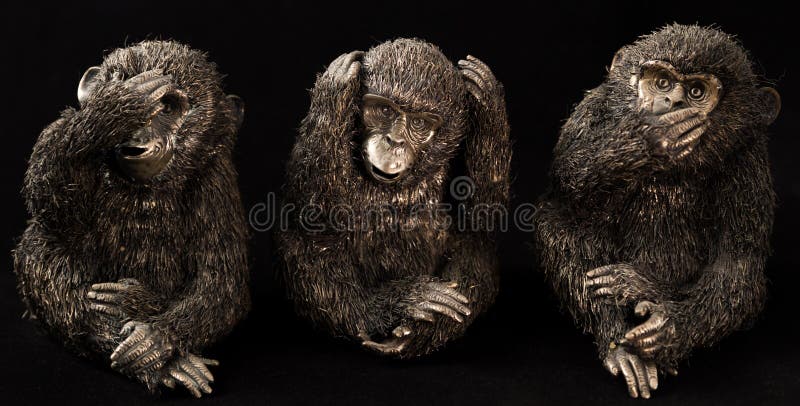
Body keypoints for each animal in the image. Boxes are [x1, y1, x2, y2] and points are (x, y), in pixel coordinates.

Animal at [13, 40, 250, 398]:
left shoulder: (216, 179)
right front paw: (115, 107)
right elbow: (52, 210)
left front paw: (155, 337)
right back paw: (164, 365)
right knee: (39, 249)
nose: (137, 133)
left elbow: (222, 278)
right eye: (149, 107)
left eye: (168, 108)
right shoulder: (57, 131)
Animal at [277, 38, 511, 358]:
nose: (395, 141)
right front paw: (335, 88)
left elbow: (478, 234)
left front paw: (487, 100)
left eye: (419, 124)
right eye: (385, 110)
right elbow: (311, 235)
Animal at [533, 24, 780, 398]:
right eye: (662, 82)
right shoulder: (588, 113)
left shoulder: (748, 159)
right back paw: (619, 344)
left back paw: (646, 293)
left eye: (696, 91)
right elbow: (569, 178)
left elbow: (737, 264)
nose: (671, 102)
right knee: (557, 227)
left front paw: (668, 328)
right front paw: (649, 138)